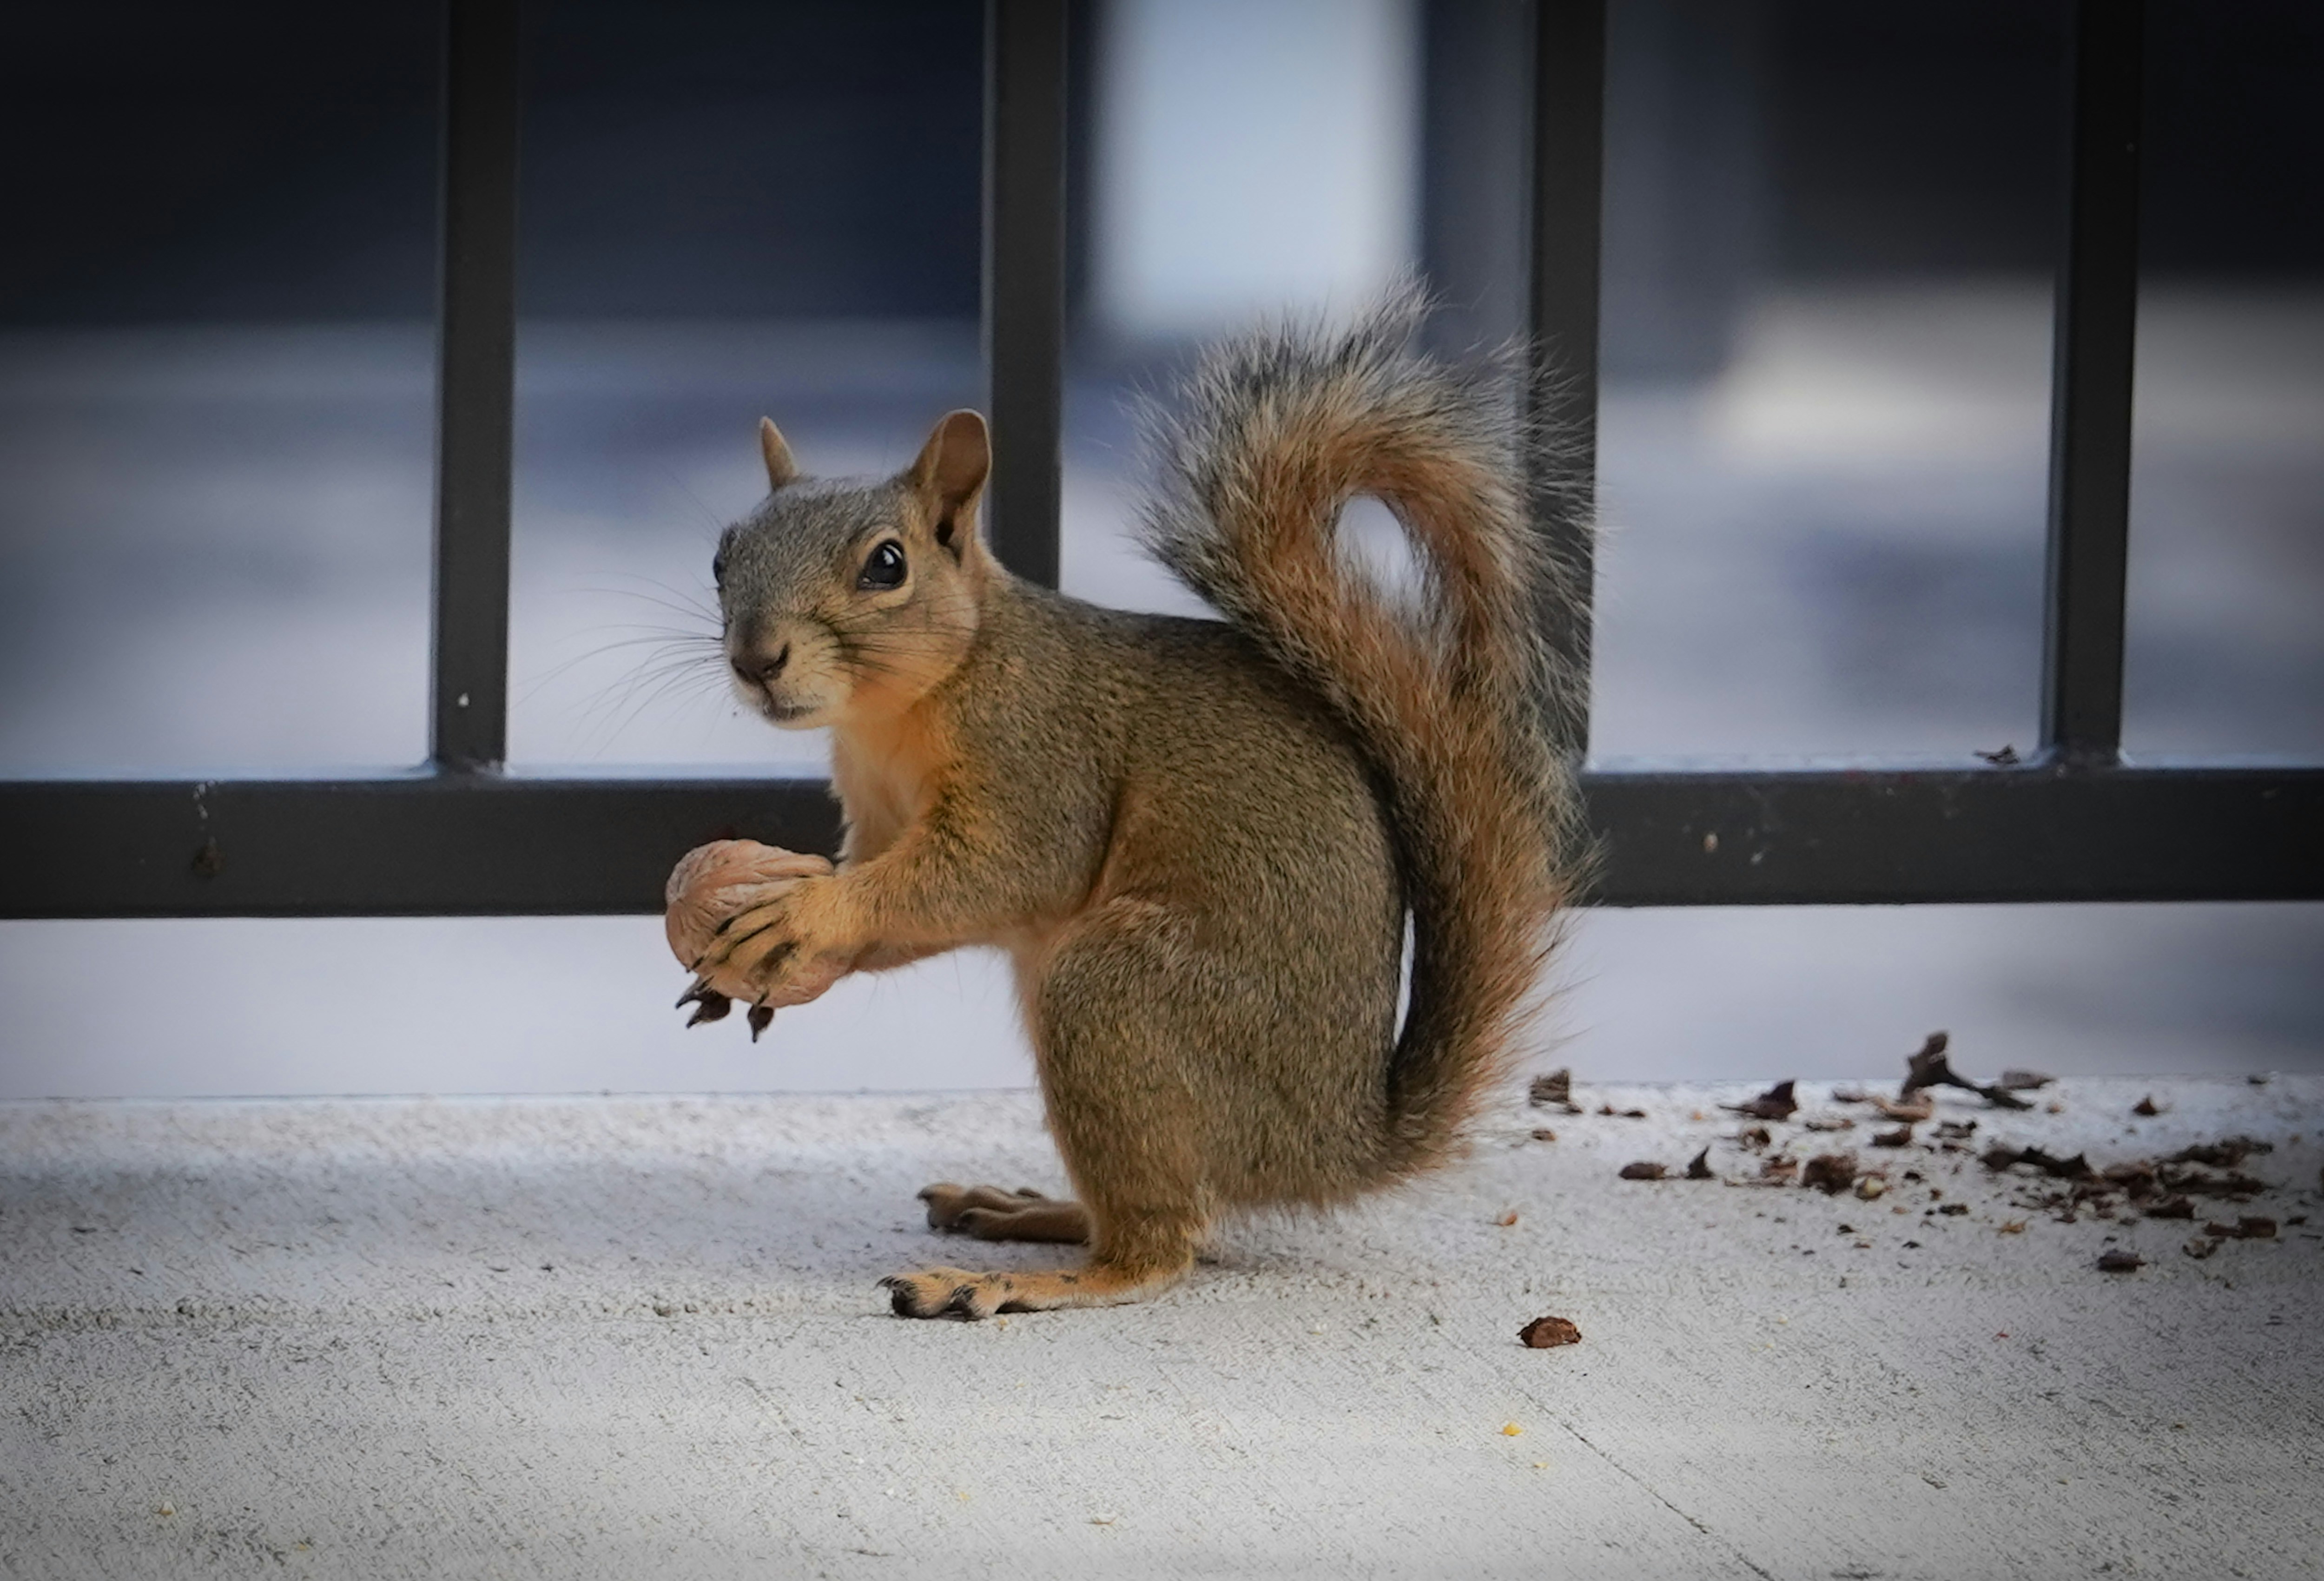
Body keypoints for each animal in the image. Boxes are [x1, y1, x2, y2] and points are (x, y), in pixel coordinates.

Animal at [676, 289, 1586, 1319]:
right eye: (723, 558)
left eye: (887, 565)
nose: (755, 658)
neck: (898, 712)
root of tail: (1335, 1147)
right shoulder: (877, 815)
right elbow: (898, 905)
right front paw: (774, 960)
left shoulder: (1041, 758)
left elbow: (1000, 871)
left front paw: (810, 912)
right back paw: (1026, 1211)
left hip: (1114, 1000)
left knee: (1159, 1246)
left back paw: (1022, 1280)